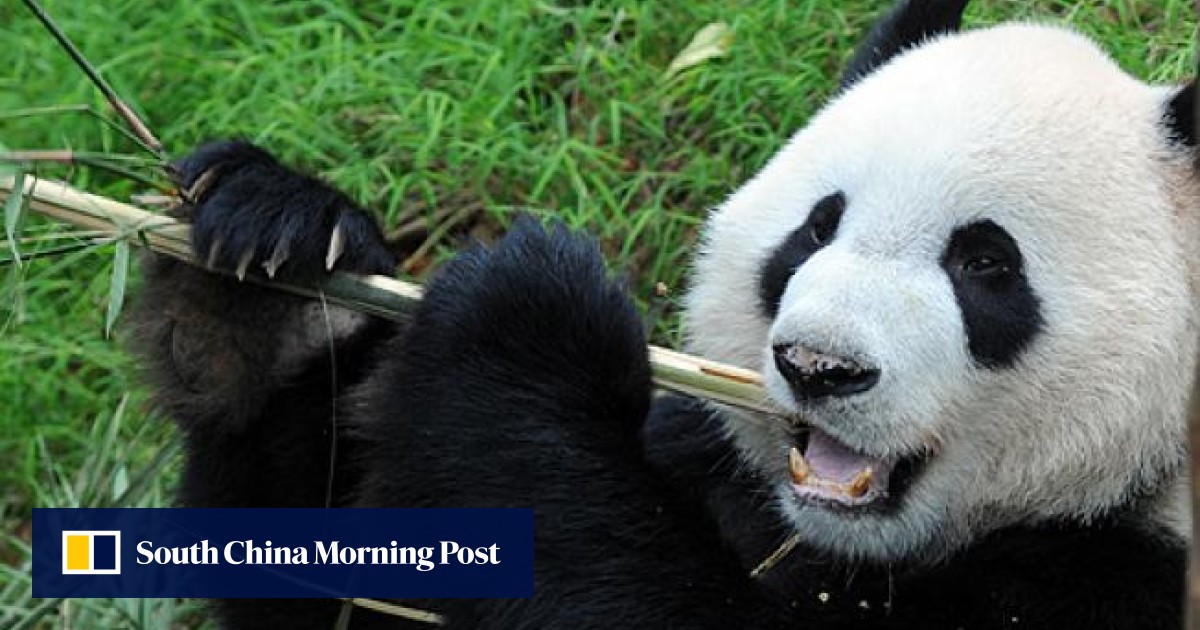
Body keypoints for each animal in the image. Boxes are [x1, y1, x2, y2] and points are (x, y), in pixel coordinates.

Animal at [130, 0, 1198, 628]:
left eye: (984, 264)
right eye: (816, 229)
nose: (818, 367)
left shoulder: (1105, 577)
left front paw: (526, 317)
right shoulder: (705, 447)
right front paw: (270, 265)